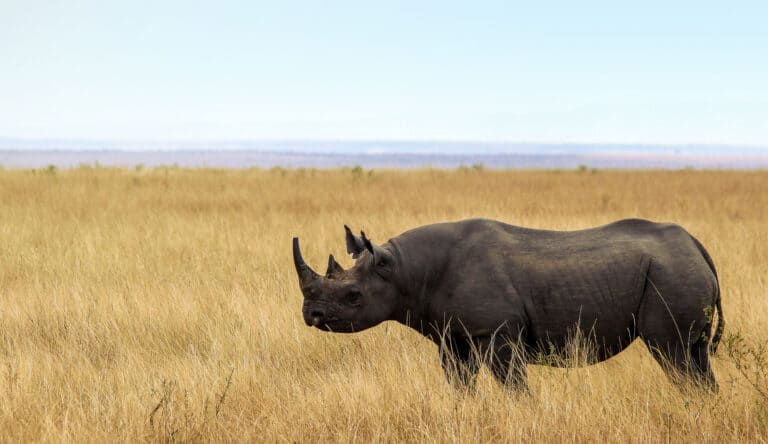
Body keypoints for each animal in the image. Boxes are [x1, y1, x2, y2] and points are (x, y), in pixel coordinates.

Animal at [292, 218, 724, 391]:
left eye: (353, 296)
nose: (310, 315)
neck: (403, 270)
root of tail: (697, 247)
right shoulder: (454, 336)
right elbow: (459, 382)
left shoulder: (497, 332)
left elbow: (513, 385)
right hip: (677, 270)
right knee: (696, 358)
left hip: (670, 274)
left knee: (672, 355)